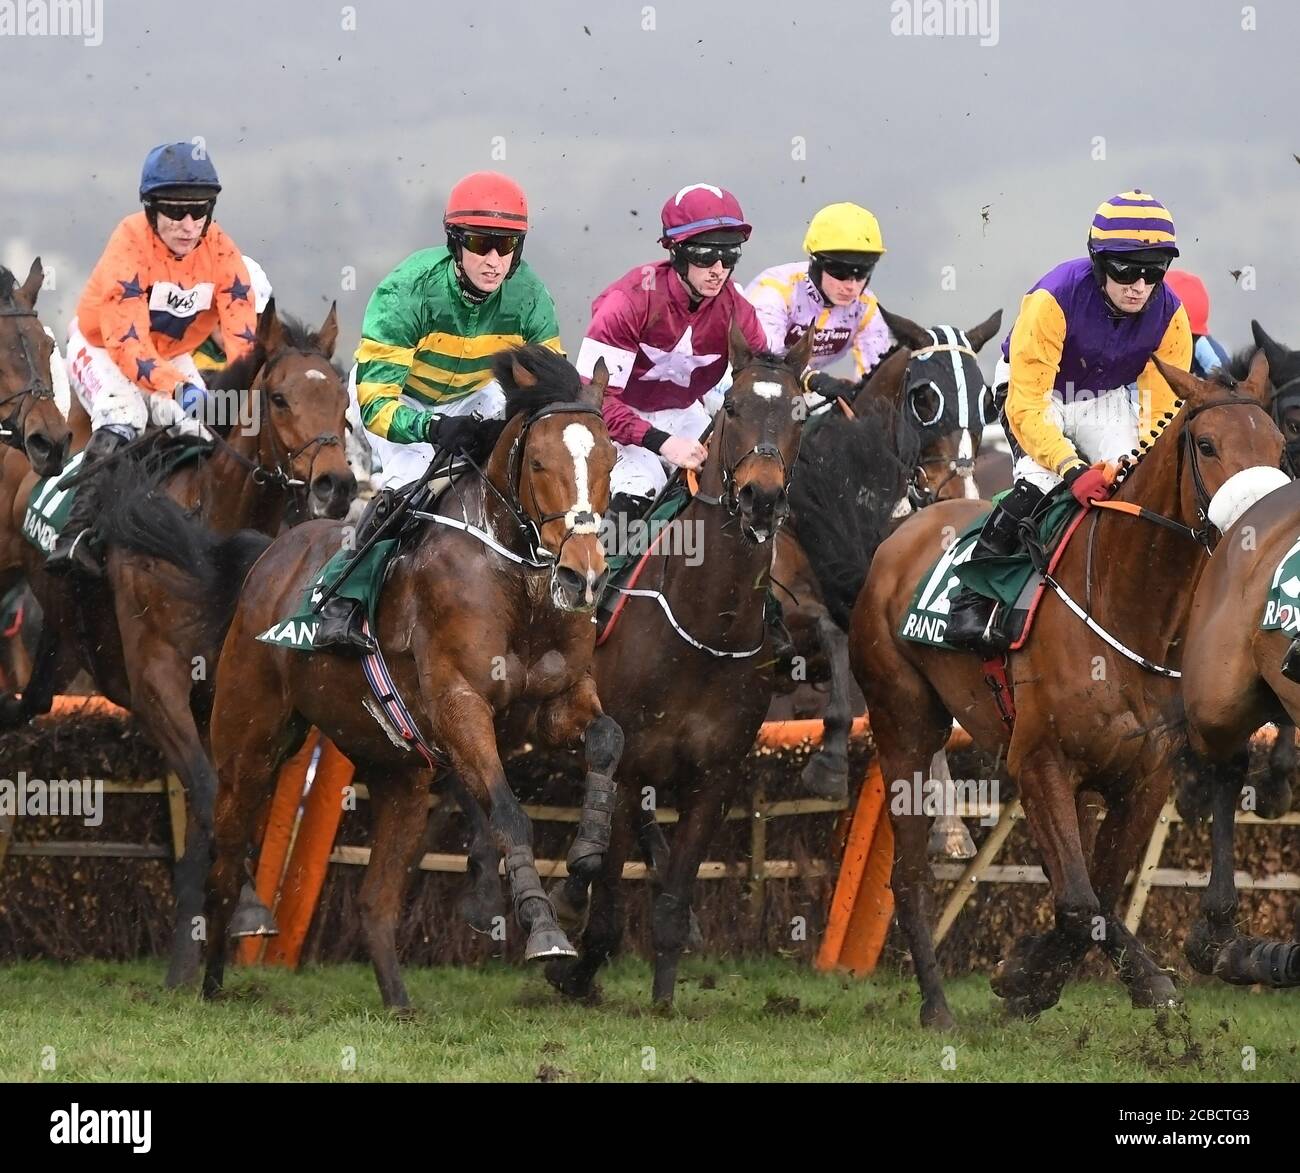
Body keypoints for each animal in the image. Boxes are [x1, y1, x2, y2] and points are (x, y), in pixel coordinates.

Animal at [6, 300, 356, 983]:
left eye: (343, 401)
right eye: (279, 398)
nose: (337, 486)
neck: (206, 535)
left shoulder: (229, 695)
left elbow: (231, 798)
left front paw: (228, 918)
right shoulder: (157, 681)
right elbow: (208, 789)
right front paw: (206, 936)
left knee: (30, 702)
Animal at [202, 345, 618, 1009]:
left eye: (610, 459)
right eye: (541, 461)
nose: (583, 577)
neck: (515, 582)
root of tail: (272, 555)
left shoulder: (557, 701)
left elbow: (607, 740)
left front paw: (576, 885)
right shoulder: (460, 703)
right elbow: (507, 811)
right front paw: (543, 927)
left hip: (399, 773)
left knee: (375, 900)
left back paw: (398, 1001)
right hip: (249, 744)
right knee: (223, 855)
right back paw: (212, 976)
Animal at [842, 356, 1279, 1029]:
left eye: (1280, 443)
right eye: (1207, 445)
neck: (1126, 611)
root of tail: (905, 527)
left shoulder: (1142, 778)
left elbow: (1098, 888)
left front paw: (1043, 977)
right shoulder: (1040, 761)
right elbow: (1079, 900)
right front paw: (1033, 976)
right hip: (904, 728)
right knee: (910, 875)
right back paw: (936, 1006)